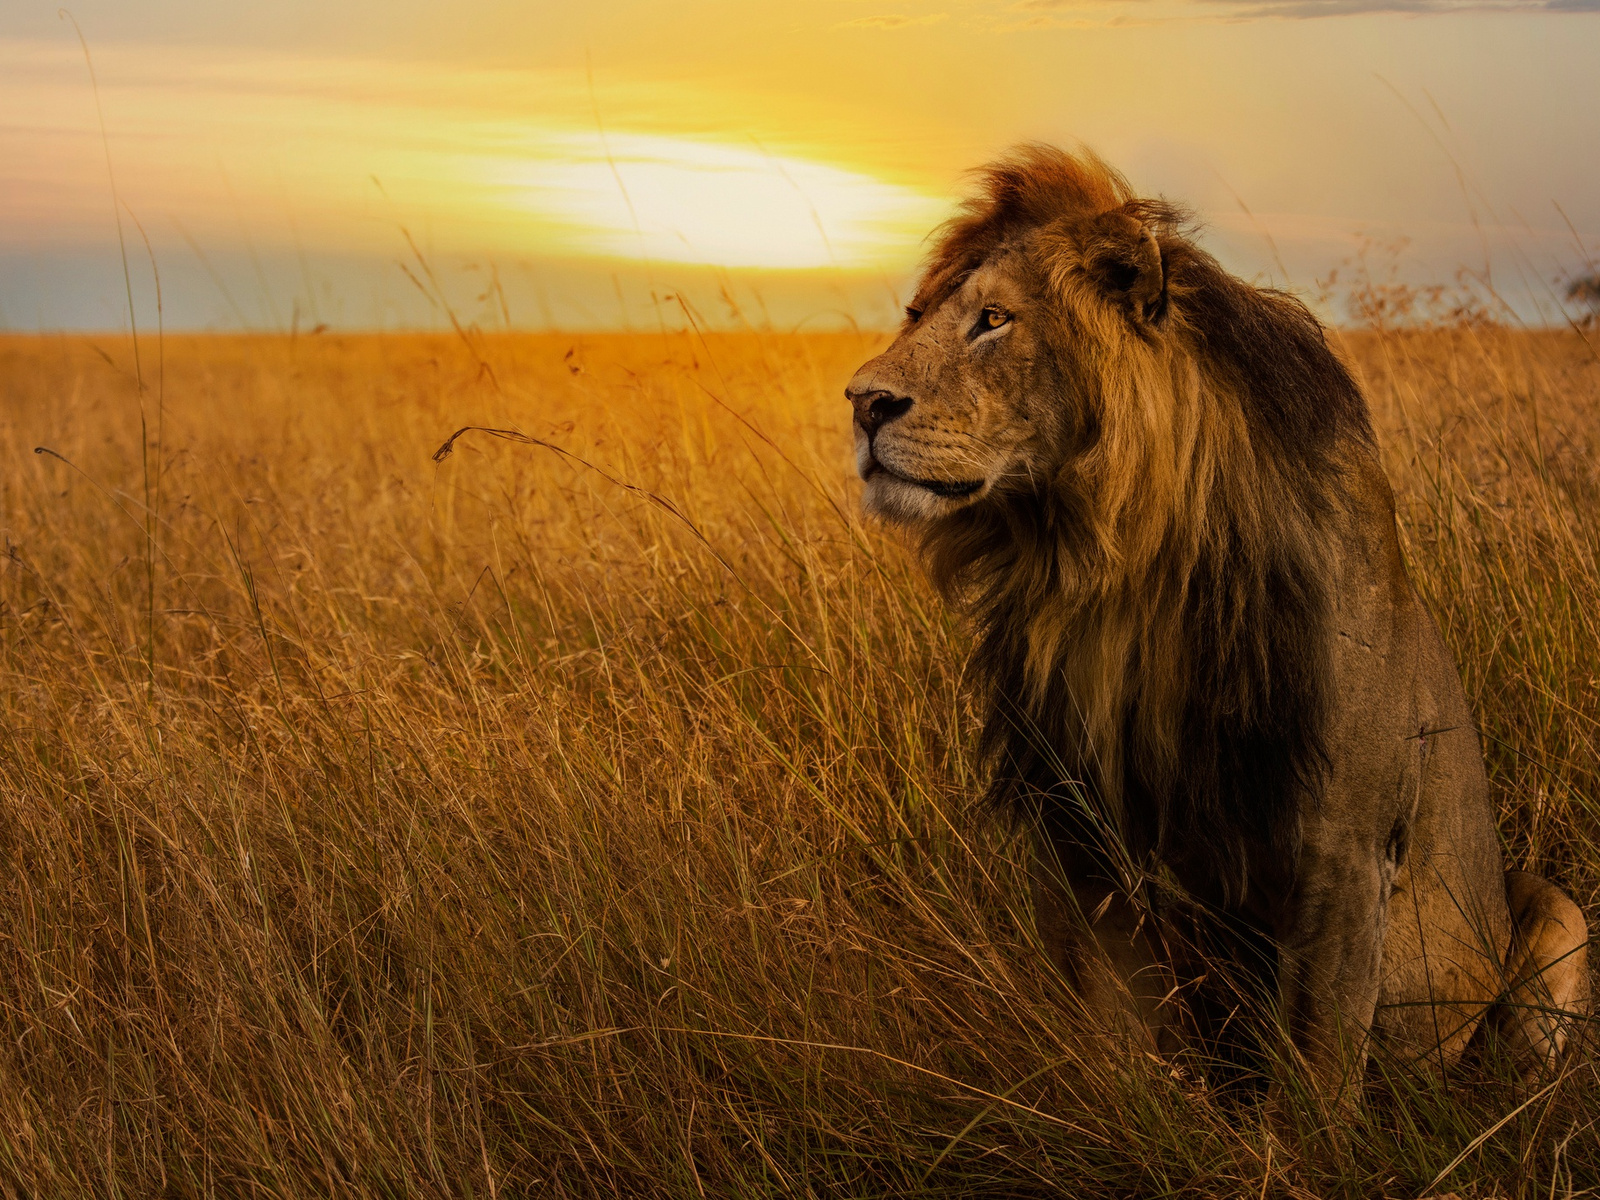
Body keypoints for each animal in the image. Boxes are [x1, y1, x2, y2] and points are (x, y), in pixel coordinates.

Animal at [845, 145, 1589, 1103]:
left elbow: (1314, 1079)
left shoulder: (1344, 850)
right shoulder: (1074, 832)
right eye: (917, 316)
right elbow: (1113, 1039)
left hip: (1553, 913)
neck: (1108, 573)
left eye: (994, 320)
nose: (862, 403)